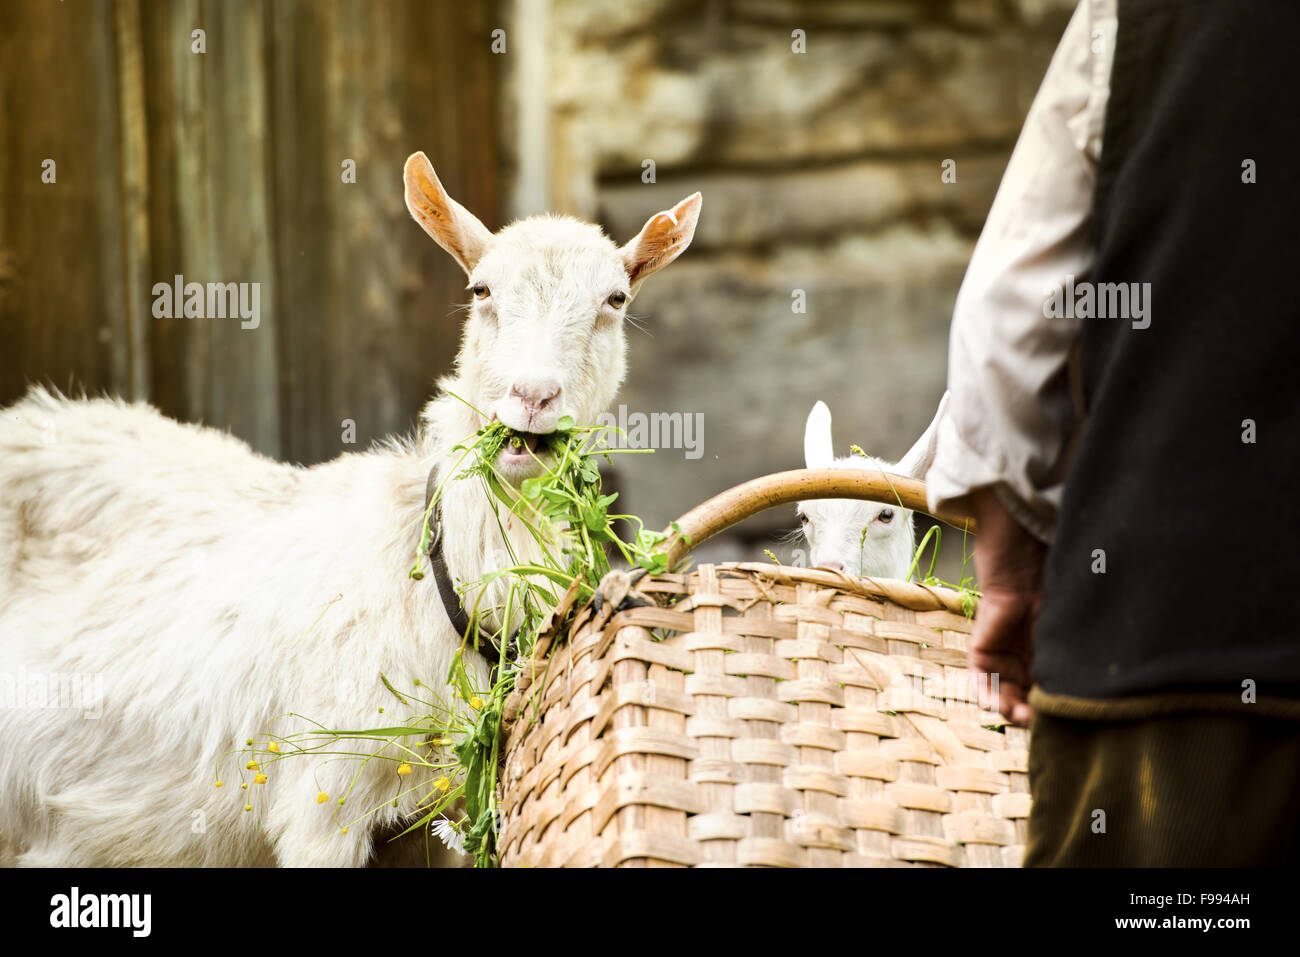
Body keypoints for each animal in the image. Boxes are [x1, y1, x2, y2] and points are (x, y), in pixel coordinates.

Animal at [0, 152, 701, 867]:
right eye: (481, 290)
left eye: (615, 300)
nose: (533, 396)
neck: (429, 574)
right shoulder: (322, 800)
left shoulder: (450, 812)